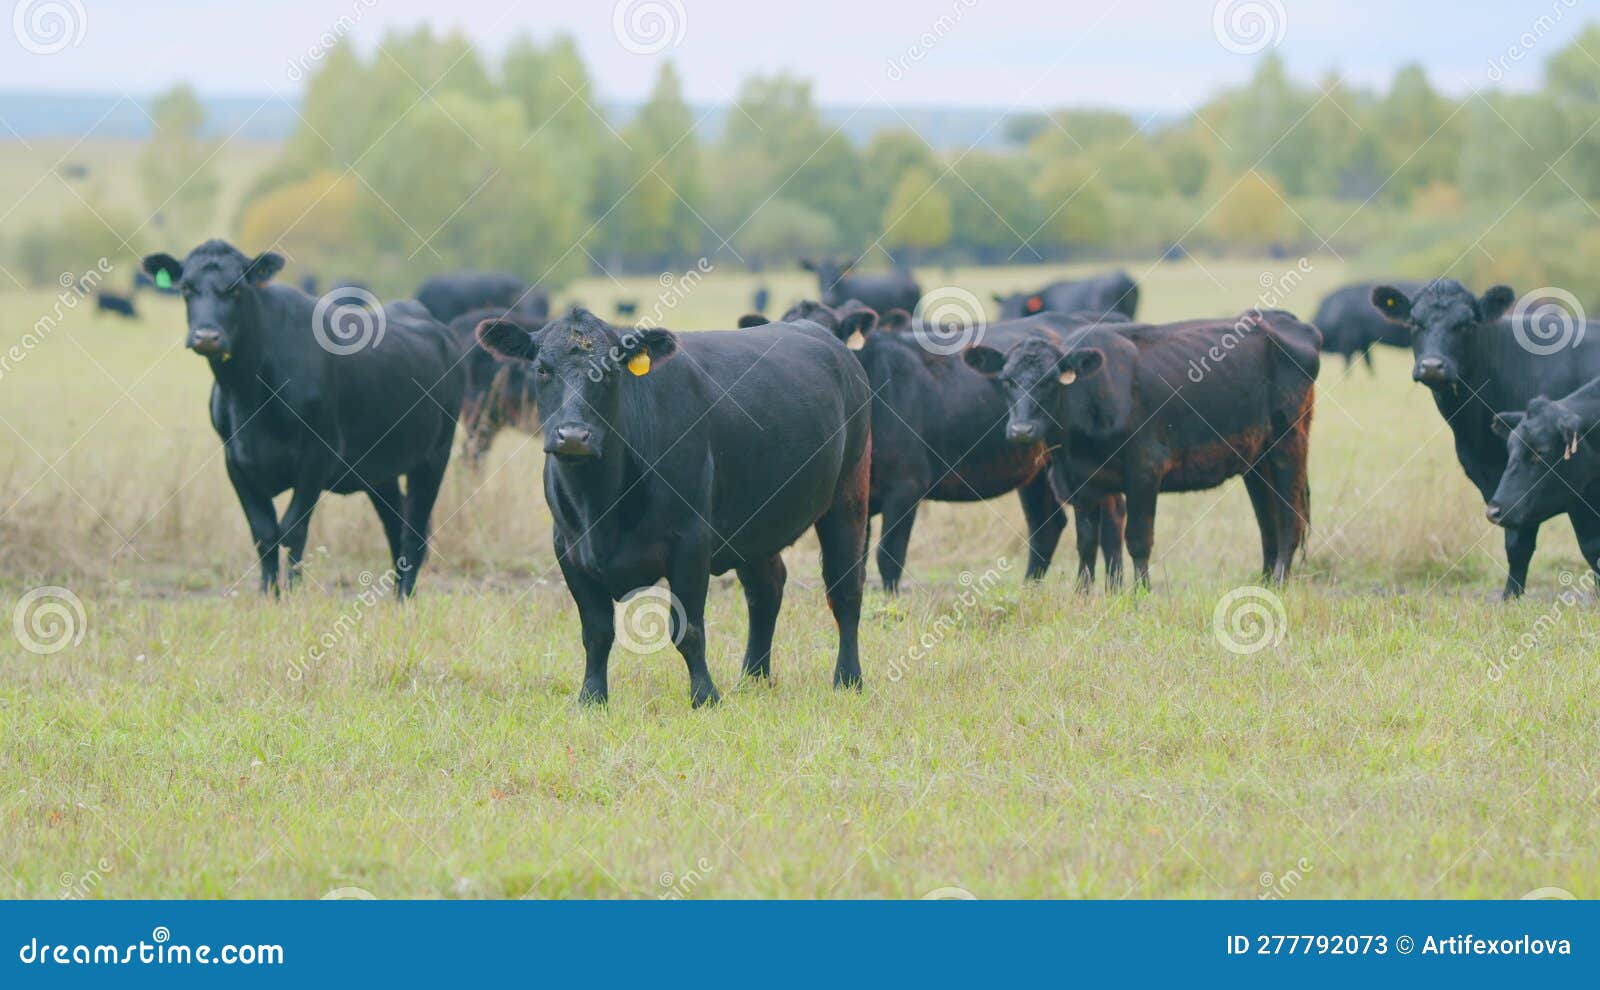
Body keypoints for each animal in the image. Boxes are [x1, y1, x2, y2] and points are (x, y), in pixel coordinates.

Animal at [141, 240, 465, 597]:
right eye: (186, 288)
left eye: (236, 288)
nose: (207, 336)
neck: (248, 395)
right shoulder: (235, 461)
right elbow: (264, 533)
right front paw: (269, 595)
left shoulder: (317, 456)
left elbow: (293, 530)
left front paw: (293, 595)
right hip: (381, 470)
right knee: (395, 525)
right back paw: (396, 598)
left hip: (435, 455)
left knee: (415, 528)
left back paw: (405, 596)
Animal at [476, 307, 872, 707]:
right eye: (542, 369)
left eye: (612, 370)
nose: (573, 436)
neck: (600, 506)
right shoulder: (568, 549)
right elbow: (597, 632)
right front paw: (591, 697)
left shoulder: (691, 542)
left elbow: (688, 629)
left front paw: (705, 695)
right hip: (756, 524)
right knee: (766, 588)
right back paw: (753, 678)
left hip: (849, 496)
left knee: (845, 588)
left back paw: (848, 678)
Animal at [772, 300, 1125, 591]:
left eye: (832, 334)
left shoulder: (906, 485)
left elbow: (889, 555)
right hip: (1036, 469)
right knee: (1046, 526)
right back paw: (1029, 590)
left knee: (1110, 516)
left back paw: (1113, 588)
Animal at [964, 311, 1320, 587]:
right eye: (1007, 380)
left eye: (1050, 380)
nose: (1021, 430)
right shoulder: (1080, 483)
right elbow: (1086, 542)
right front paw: (1082, 593)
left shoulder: (1145, 469)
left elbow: (1137, 539)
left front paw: (1141, 594)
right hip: (1257, 459)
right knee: (1268, 522)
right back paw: (1266, 582)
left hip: (1289, 444)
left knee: (1290, 518)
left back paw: (1278, 583)